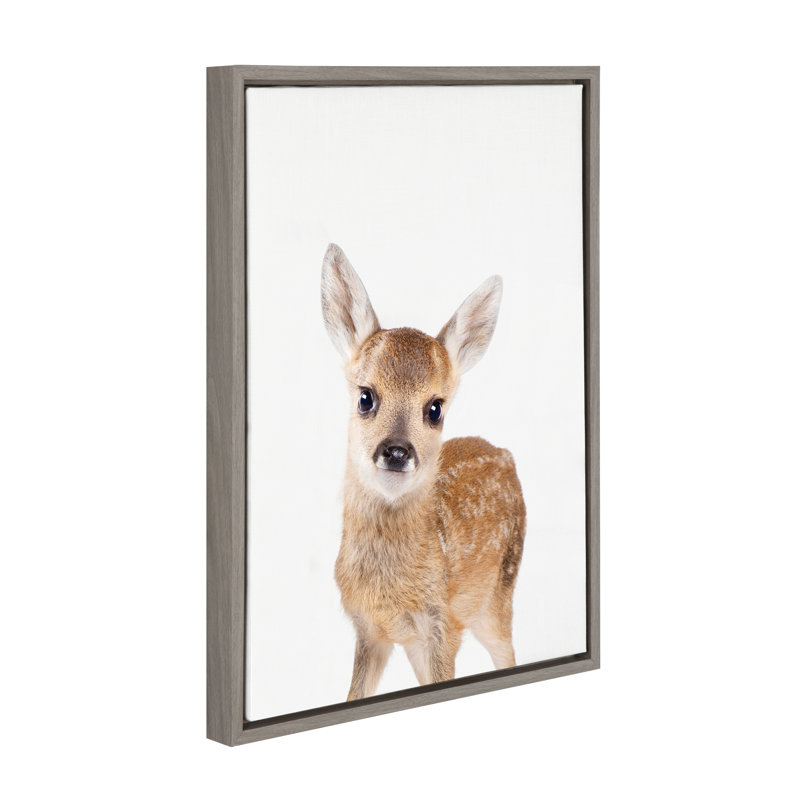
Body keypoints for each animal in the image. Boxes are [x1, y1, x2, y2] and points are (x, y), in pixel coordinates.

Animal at [321, 243, 526, 701]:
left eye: (435, 408)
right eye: (365, 397)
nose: (397, 451)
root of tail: (505, 454)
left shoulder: (442, 626)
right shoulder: (370, 630)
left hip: (497, 597)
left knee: (508, 653)